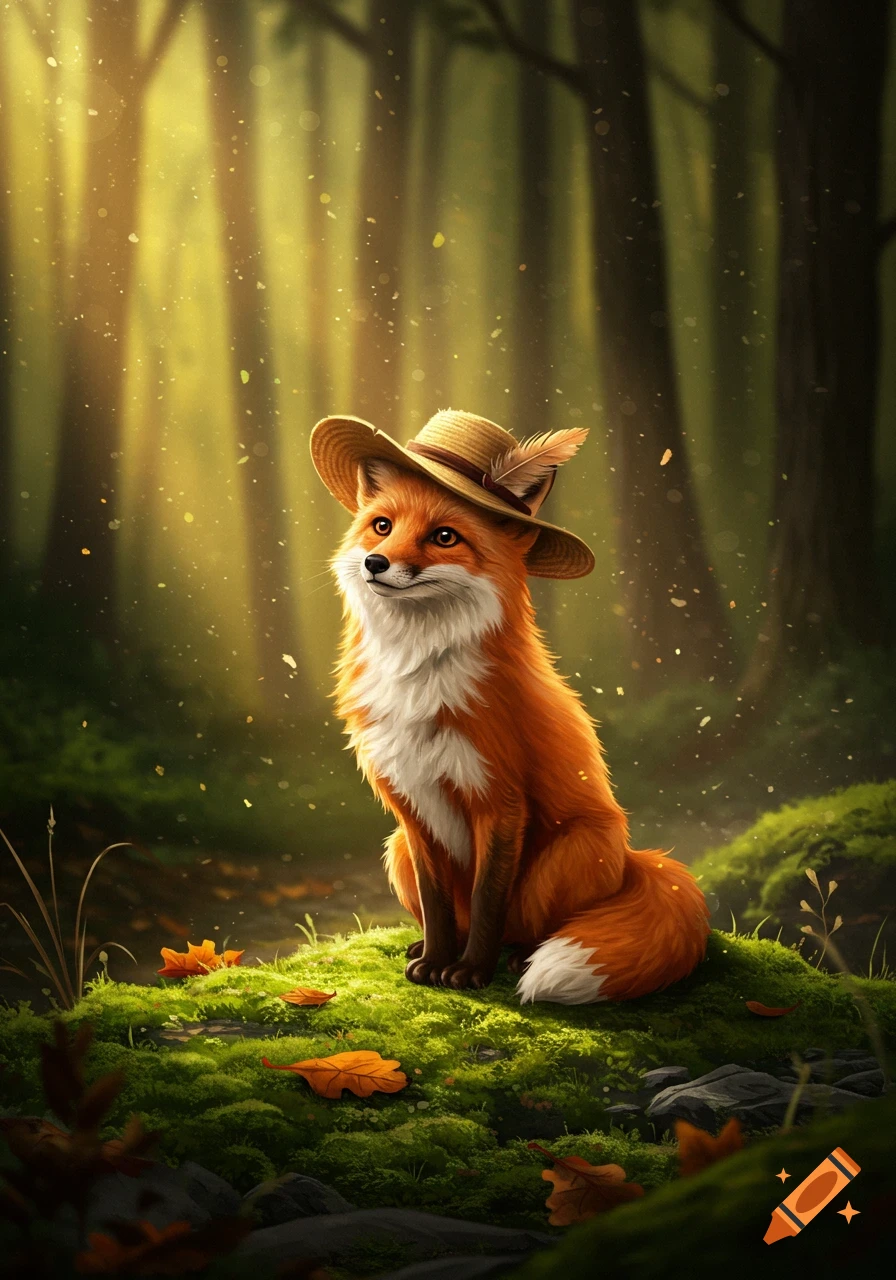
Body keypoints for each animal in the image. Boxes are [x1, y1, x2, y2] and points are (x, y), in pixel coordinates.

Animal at [324, 416, 709, 1004]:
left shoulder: (500, 799)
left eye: (444, 536)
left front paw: (468, 971)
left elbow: (488, 901)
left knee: (530, 928)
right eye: (381, 526)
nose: (375, 563)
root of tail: (632, 860)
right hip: (396, 850)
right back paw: (424, 947)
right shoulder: (413, 807)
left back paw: (516, 956)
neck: (417, 675)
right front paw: (435, 960)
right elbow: (438, 906)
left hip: (571, 853)